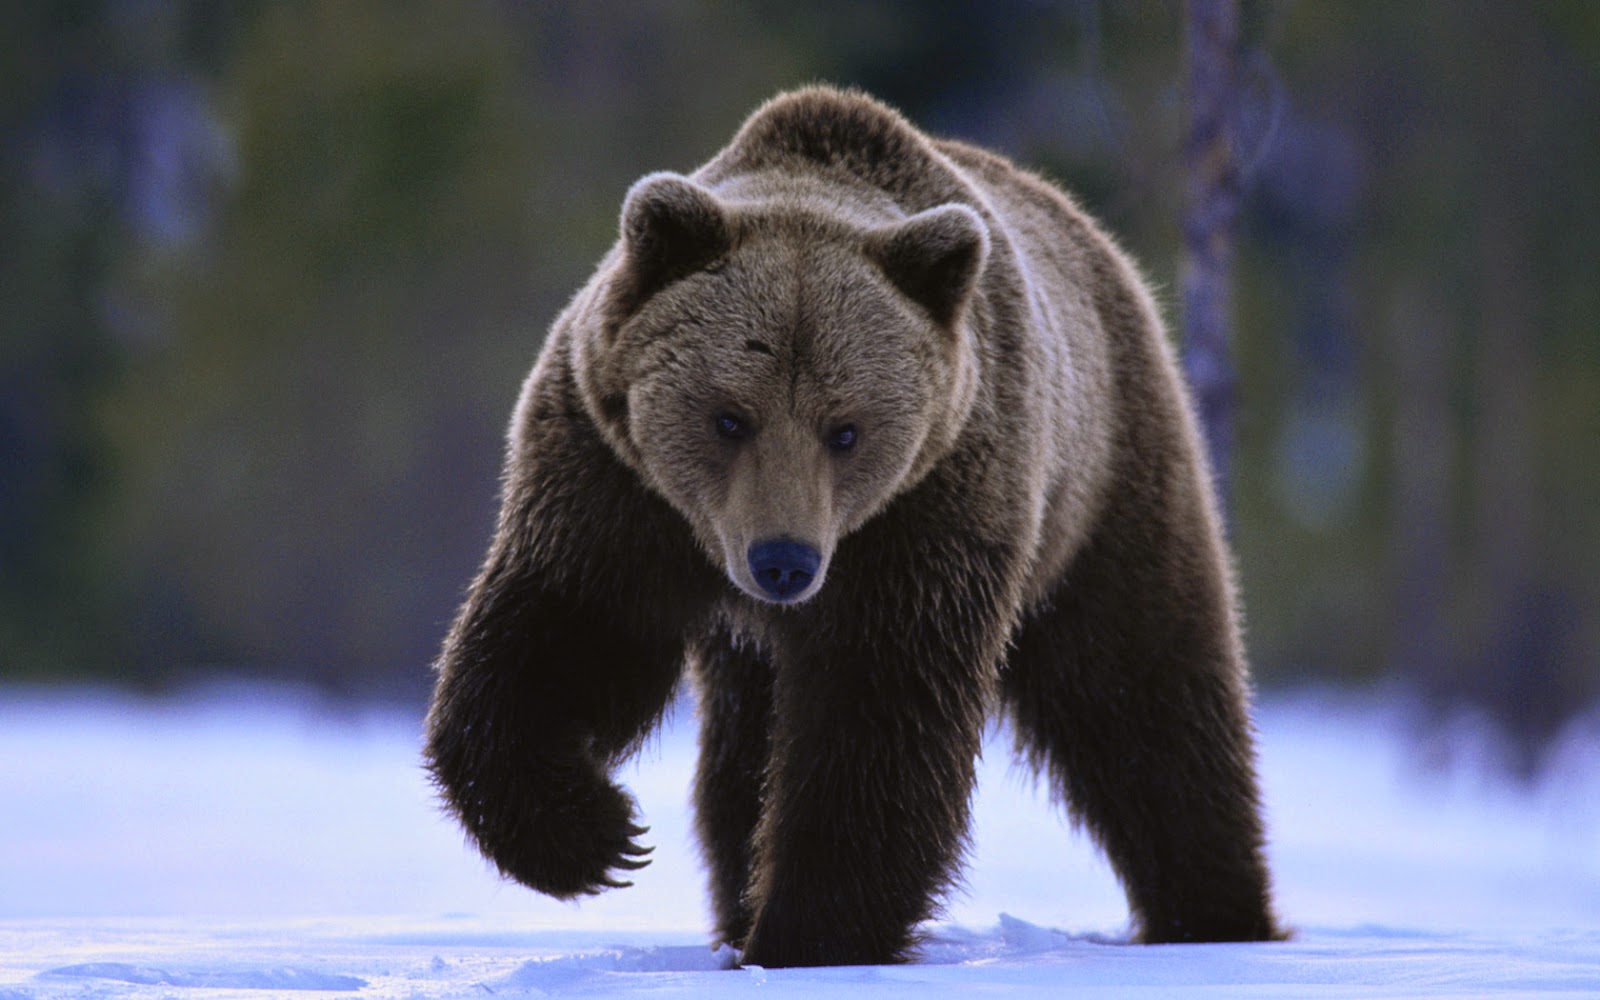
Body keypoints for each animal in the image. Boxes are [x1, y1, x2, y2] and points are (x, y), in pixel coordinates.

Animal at [423, 86, 1279, 968]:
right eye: (730, 417)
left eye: (846, 429)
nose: (784, 561)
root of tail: (1100, 243)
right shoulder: (613, 483)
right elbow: (567, 634)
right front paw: (595, 837)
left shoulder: (928, 510)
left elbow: (878, 714)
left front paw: (807, 933)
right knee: (741, 756)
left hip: (1105, 487)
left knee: (1143, 696)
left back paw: (1213, 913)